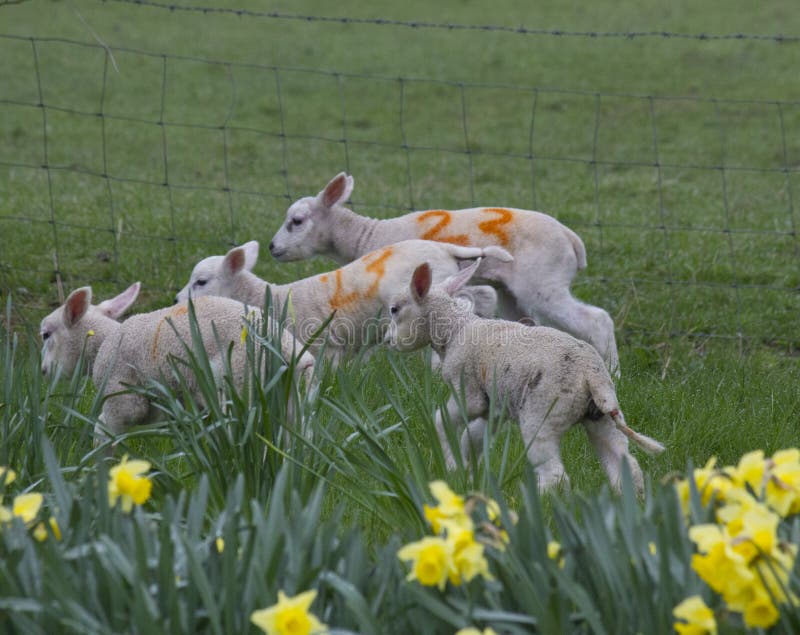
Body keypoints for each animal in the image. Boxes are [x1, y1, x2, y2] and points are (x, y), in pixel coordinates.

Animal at [40, 284, 315, 444]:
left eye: (45, 335)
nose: (43, 371)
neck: (103, 342)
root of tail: (289, 348)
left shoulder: (122, 395)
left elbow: (104, 430)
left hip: (237, 382)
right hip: (290, 395)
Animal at [175, 239, 512, 358]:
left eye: (201, 282)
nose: (177, 300)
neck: (271, 299)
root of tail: (443, 247)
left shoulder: (323, 346)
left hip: (433, 286)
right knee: (483, 294)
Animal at [268, 172, 620, 376]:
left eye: (296, 221)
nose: (272, 247)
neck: (367, 236)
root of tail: (571, 239)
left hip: (543, 283)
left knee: (597, 319)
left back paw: (613, 370)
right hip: (515, 291)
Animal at [383, 259, 664, 494]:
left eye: (394, 309)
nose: (388, 341)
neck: (457, 329)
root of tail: (591, 374)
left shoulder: (467, 391)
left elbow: (441, 422)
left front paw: (452, 466)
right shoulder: (493, 407)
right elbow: (472, 437)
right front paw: (467, 471)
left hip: (542, 415)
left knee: (555, 475)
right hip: (602, 417)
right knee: (624, 464)